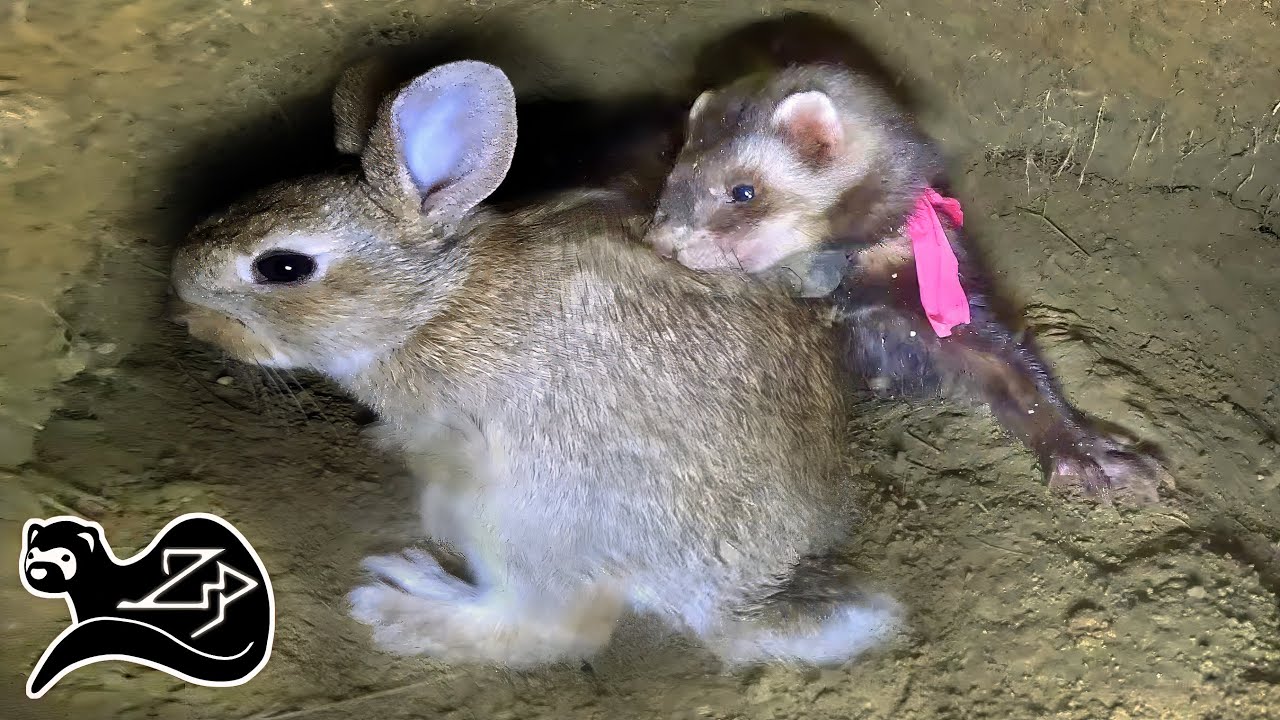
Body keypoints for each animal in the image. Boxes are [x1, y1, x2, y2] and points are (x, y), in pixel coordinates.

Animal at [169, 59, 900, 669]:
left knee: (549, 628)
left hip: (519, 515)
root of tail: (736, 598)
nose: (185, 301)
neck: (431, 306)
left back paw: (401, 600)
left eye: (282, 267)